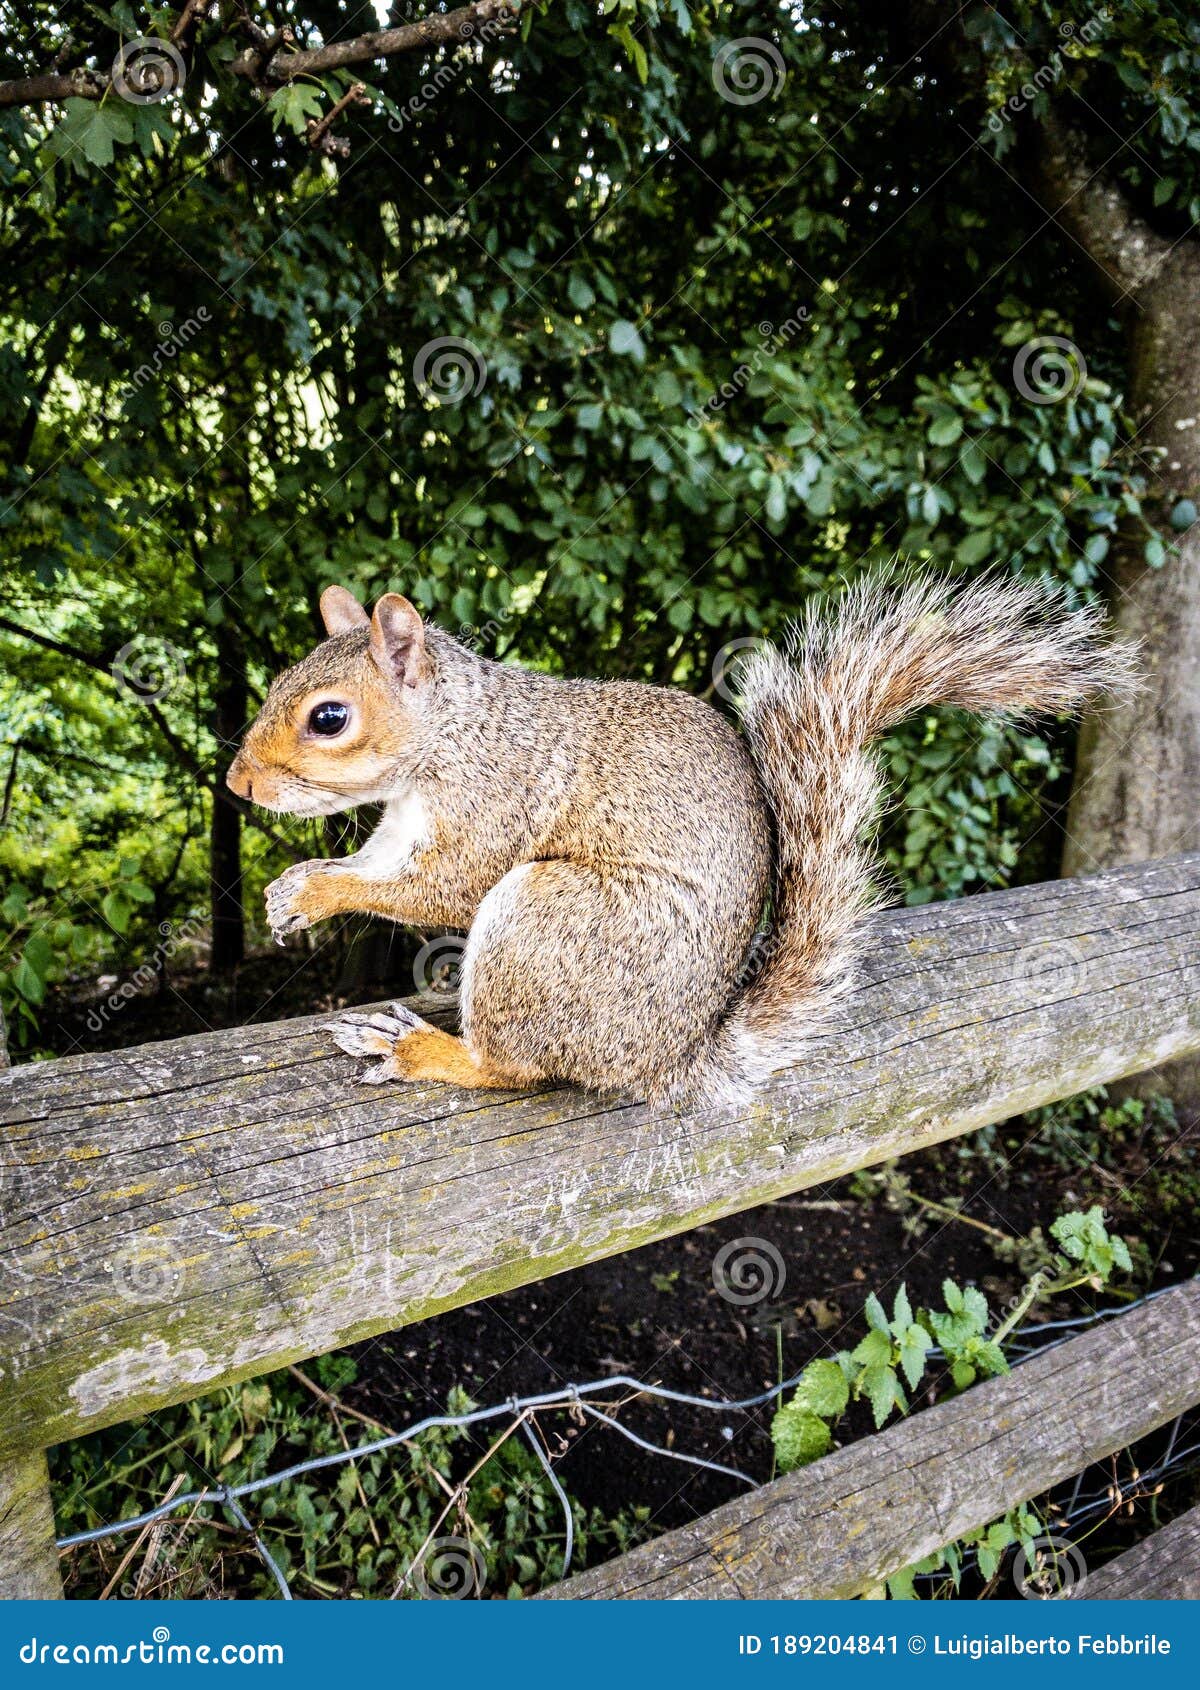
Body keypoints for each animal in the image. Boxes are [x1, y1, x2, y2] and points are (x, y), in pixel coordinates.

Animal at [226, 574, 1133, 1105]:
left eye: (329, 718)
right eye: (278, 682)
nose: (237, 785)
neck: (452, 736)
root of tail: (667, 1058)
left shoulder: (496, 803)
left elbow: (438, 888)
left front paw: (317, 890)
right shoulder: (403, 823)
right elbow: (374, 863)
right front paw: (292, 888)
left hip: (548, 926)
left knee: (512, 1069)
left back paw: (425, 1050)